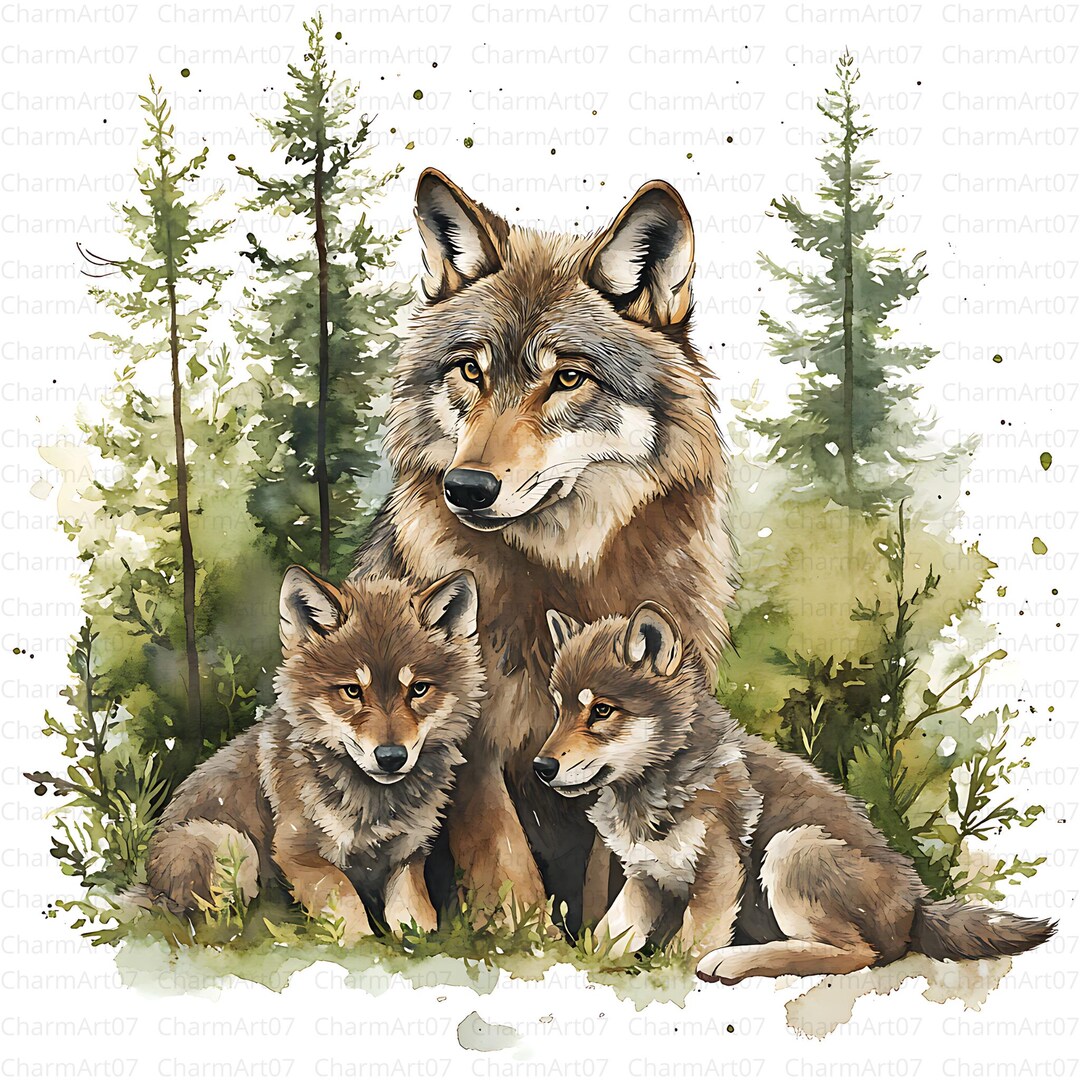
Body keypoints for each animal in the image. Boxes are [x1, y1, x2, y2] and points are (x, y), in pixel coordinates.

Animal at [140, 567, 484, 942]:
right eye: (352, 691)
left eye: (418, 689)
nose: (391, 757)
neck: (376, 807)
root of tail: (150, 888)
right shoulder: (296, 852)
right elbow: (346, 902)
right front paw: (361, 944)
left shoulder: (409, 855)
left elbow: (415, 920)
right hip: (230, 841)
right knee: (220, 925)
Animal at [353, 168, 735, 926]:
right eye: (470, 371)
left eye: (567, 377)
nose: (467, 487)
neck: (568, 576)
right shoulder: (473, 753)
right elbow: (507, 873)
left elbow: (604, 871)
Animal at [535, 604, 1056, 982]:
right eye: (558, 709)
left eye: (602, 711)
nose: (541, 767)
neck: (649, 790)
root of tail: (916, 907)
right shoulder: (644, 878)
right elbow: (605, 937)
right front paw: (589, 962)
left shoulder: (719, 872)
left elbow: (687, 945)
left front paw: (670, 970)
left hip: (792, 847)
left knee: (858, 954)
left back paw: (736, 962)